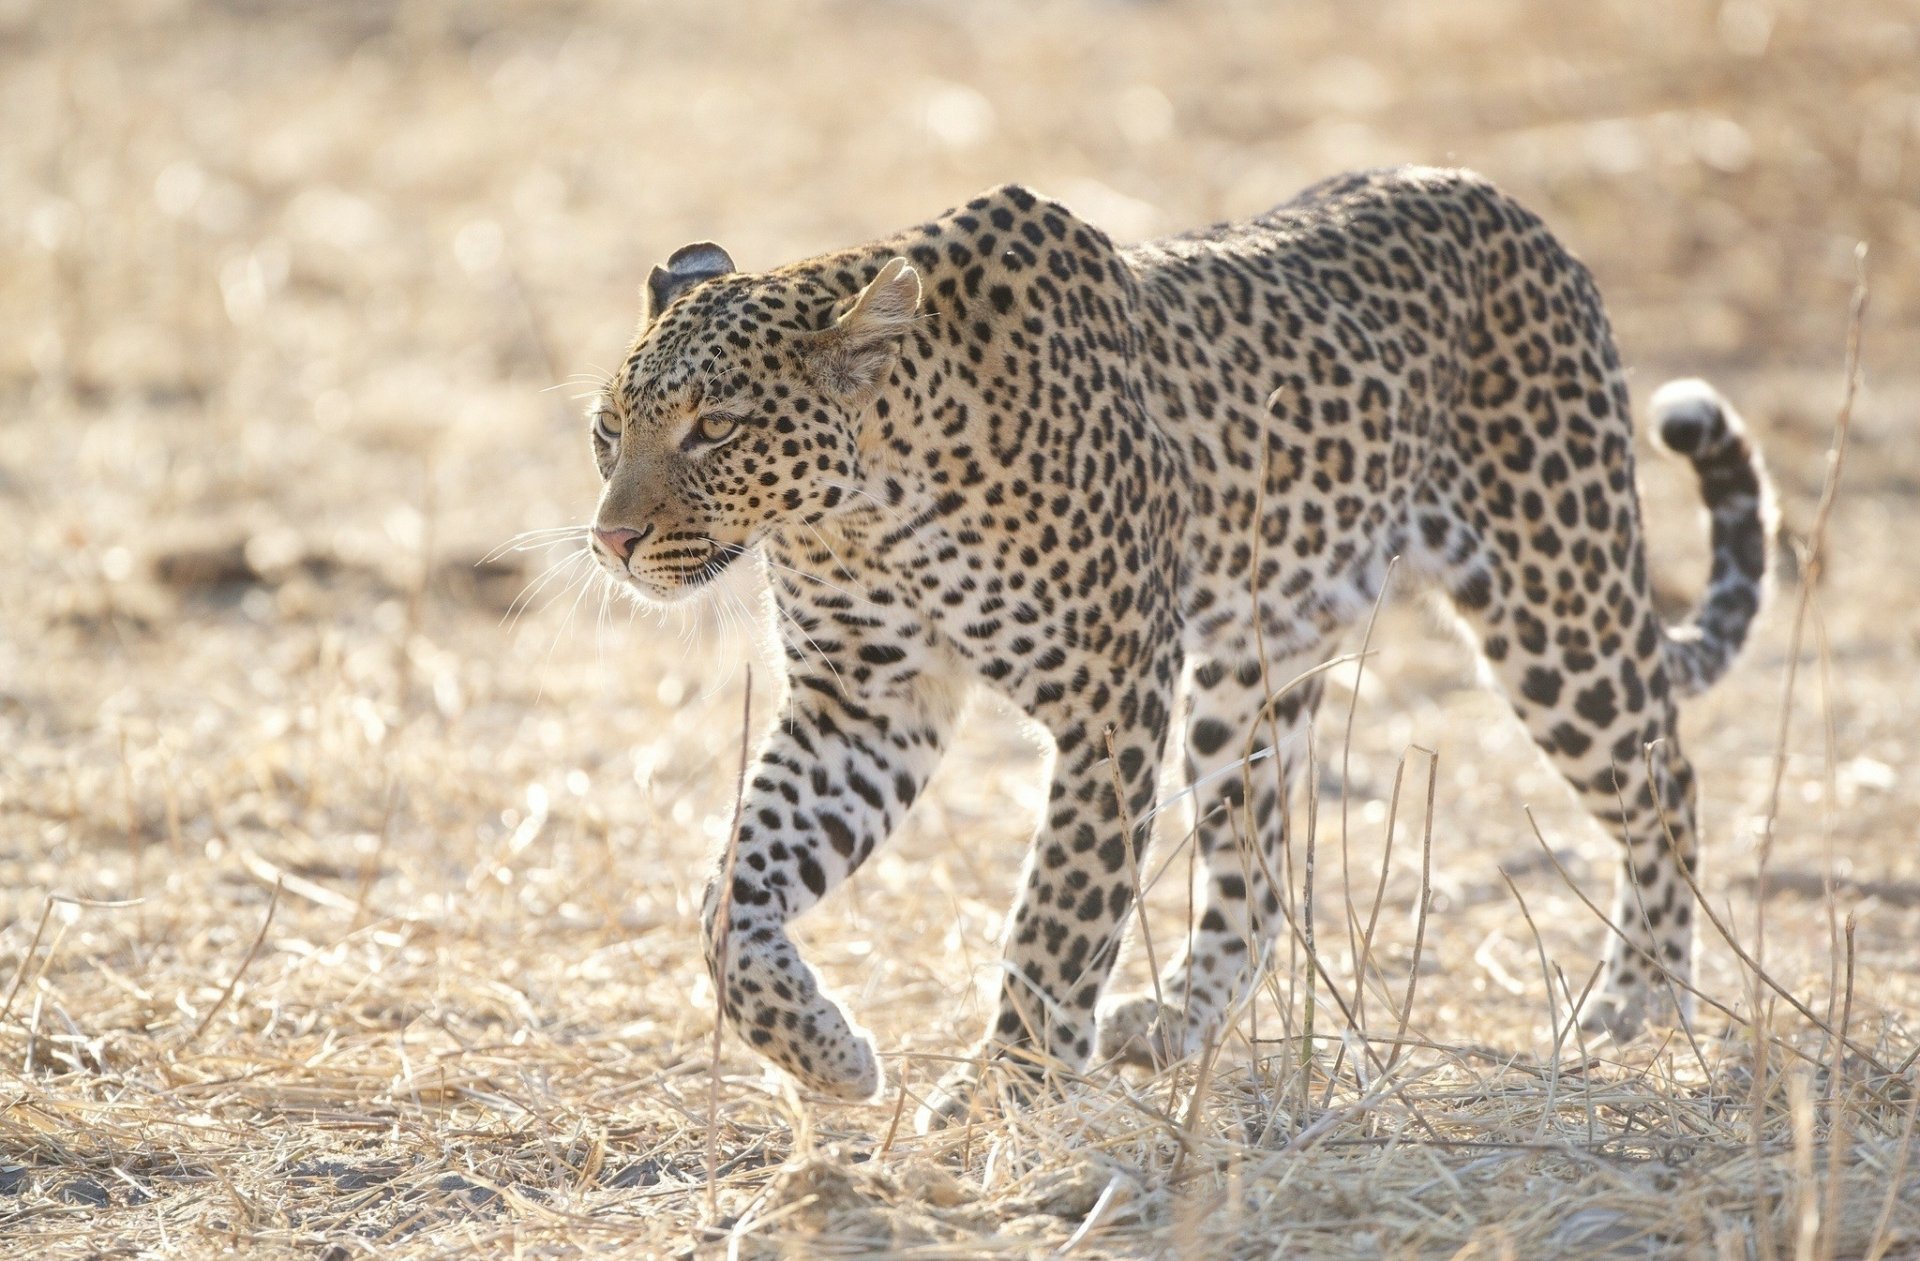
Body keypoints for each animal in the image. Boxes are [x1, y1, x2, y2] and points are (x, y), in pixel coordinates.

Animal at [579, 166, 1773, 1132]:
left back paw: (1637, 1006)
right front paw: (829, 1055)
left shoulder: (1109, 695)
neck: (864, 502)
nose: (611, 540)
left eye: (716, 428)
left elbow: (1060, 915)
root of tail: (1511, 208)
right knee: (1259, 873)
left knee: (1666, 777)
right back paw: (1174, 1025)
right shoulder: (865, 705)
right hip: (1250, 675)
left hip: (1555, 598)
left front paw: (1004, 1094)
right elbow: (733, 896)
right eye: (607, 427)